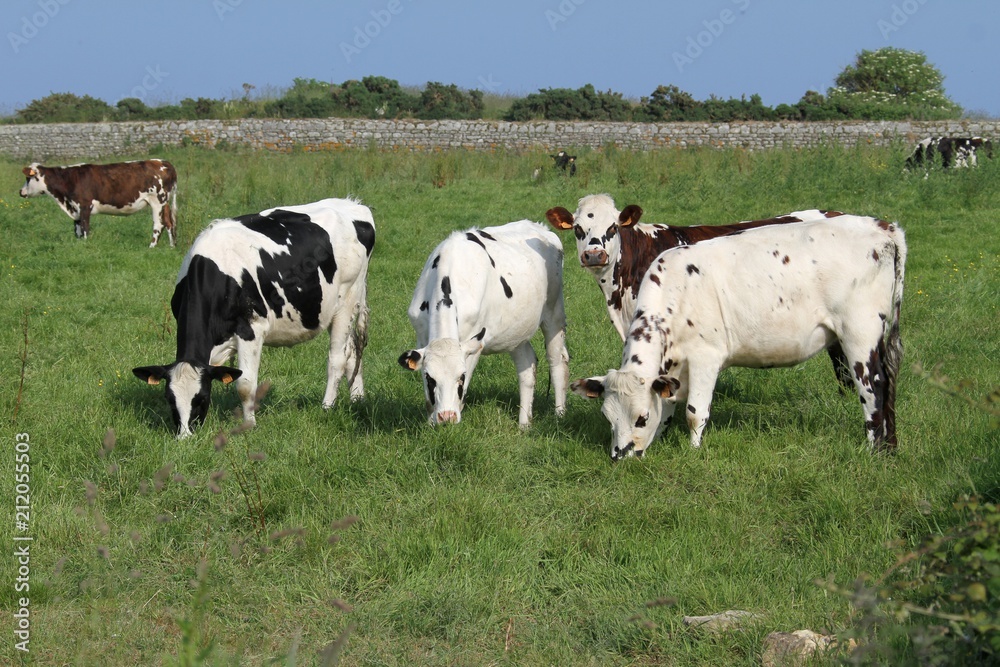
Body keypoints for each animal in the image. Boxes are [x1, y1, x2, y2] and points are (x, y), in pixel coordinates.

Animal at [19, 159, 178, 247]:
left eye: (28, 178)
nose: (21, 192)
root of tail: (163, 162)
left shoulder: (85, 206)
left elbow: (85, 228)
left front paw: (86, 244)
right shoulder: (76, 209)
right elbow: (77, 230)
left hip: (157, 201)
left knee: (158, 224)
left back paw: (151, 246)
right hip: (165, 203)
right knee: (169, 222)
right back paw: (172, 246)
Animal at [132, 198, 375, 438]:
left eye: (201, 398)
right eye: (169, 399)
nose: (184, 436)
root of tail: (354, 205)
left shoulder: (251, 329)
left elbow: (245, 385)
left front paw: (249, 424)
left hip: (346, 300)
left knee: (337, 359)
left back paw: (327, 406)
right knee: (353, 350)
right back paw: (358, 400)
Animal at [398, 220, 569, 429]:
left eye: (461, 377)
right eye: (431, 378)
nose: (447, 416)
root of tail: (541, 227)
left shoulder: (473, 344)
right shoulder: (421, 339)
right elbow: (428, 399)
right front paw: (432, 423)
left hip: (554, 313)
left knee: (557, 360)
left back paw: (559, 415)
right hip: (516, 330)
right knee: (527, 366)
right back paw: (524, 424)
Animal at [571, 215, 906, 460]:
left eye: (640, 418)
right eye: (608, 417)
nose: (619, 456)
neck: (675, 293)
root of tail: (881, 225)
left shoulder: (705, 356)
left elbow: (695, 413)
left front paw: (693, 453)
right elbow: (667, 407)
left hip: (859, 332)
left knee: (874, 385)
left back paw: (874, 449)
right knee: (889, 379)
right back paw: (890, 447)